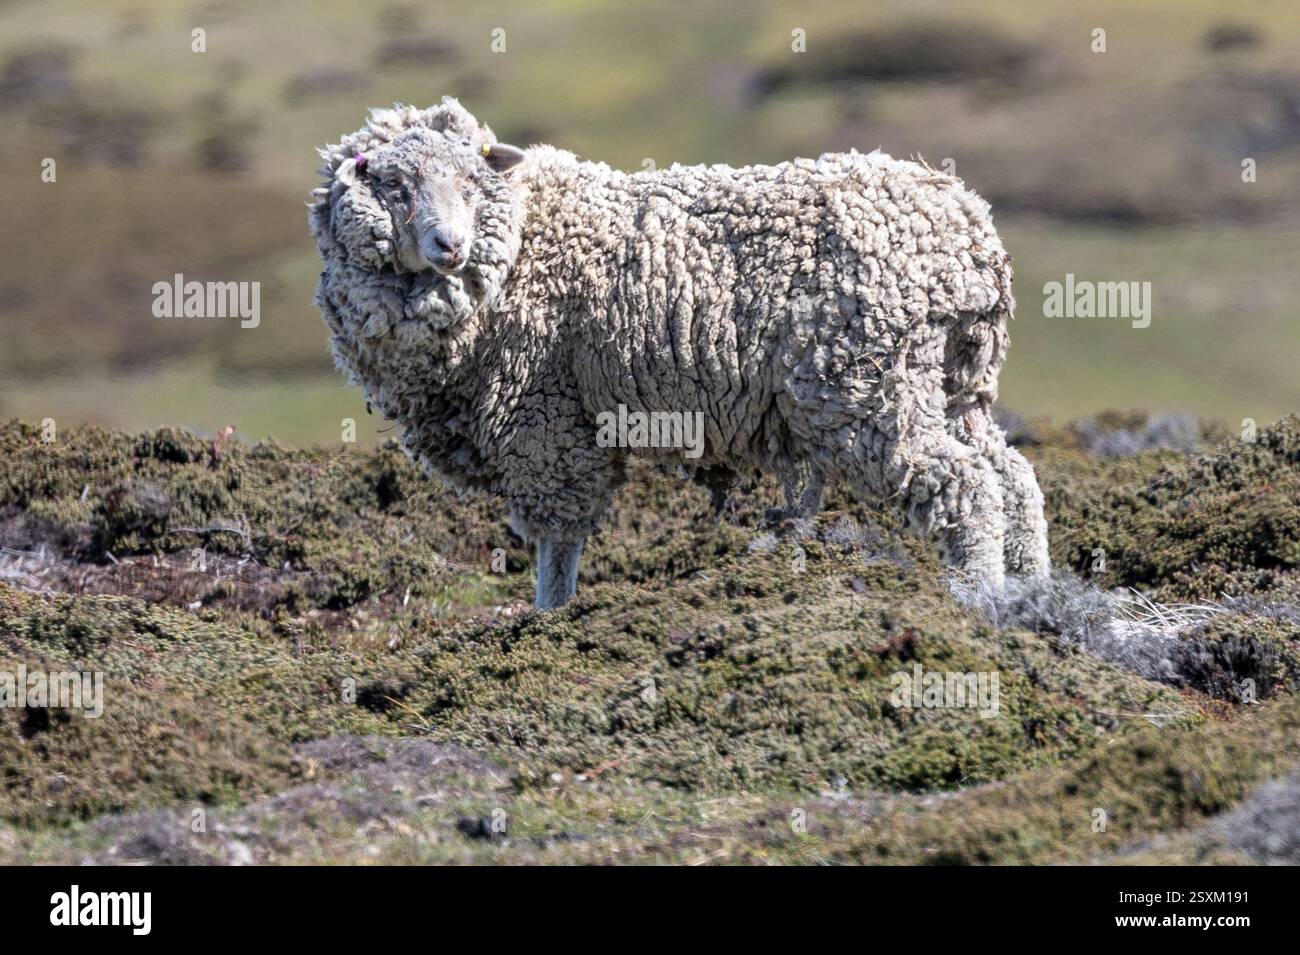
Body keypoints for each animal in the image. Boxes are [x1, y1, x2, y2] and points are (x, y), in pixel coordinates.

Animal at [310, 97, 1049, 609]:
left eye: (470, 180)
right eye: (394, 185)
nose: (450, 245)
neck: (524, 241)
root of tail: (968, 233)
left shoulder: (545, 424)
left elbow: (558, 543)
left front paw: (548, 621)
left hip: (865, 389)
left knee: (967, 484)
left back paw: (980, 600)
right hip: (953, 382)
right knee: (1013, 478)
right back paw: (1034, 596)